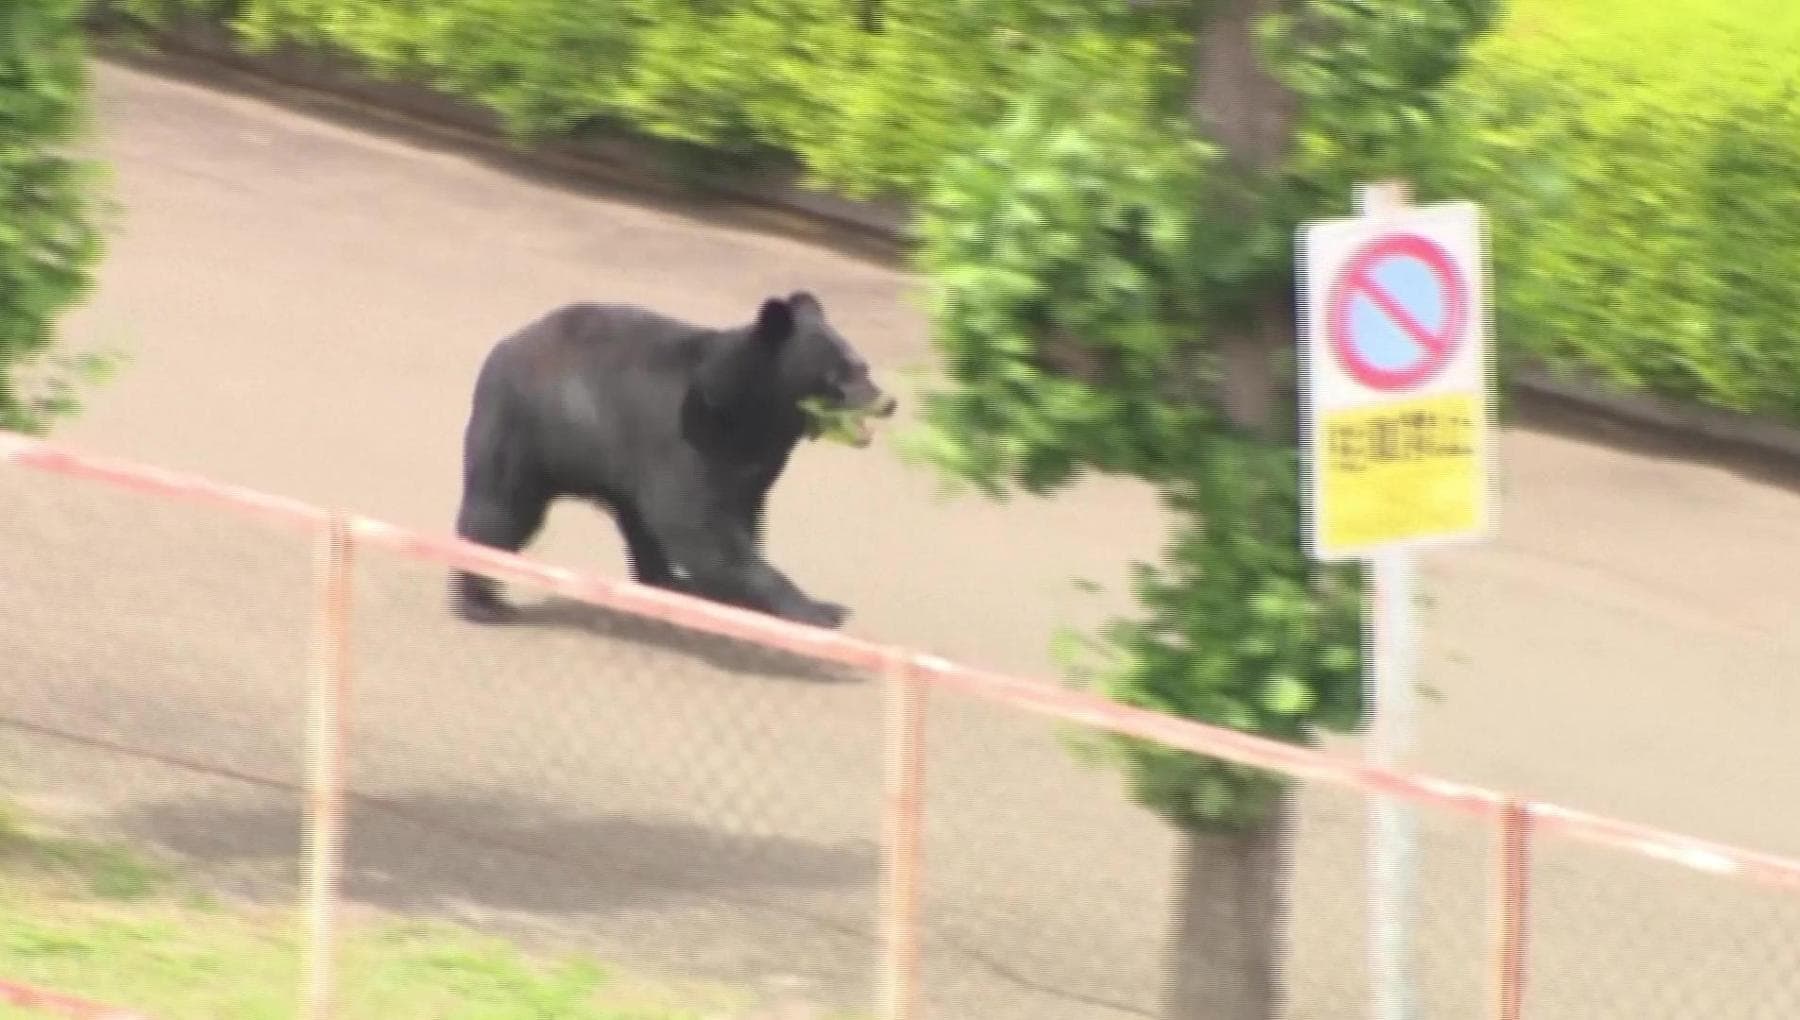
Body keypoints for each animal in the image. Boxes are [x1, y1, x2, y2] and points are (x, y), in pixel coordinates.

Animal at [447, 290, 895, 631]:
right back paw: (482, 601)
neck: (750, 411)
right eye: (838, 375)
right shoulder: (684, 438)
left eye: (862, 365)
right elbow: (695, 523)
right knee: (500, 510)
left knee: (638, 526)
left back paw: (667, 581)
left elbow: (741, 515)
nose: (888, 402)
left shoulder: (755, 460)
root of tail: (507, 343)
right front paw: (820, 609)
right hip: (527, 430)